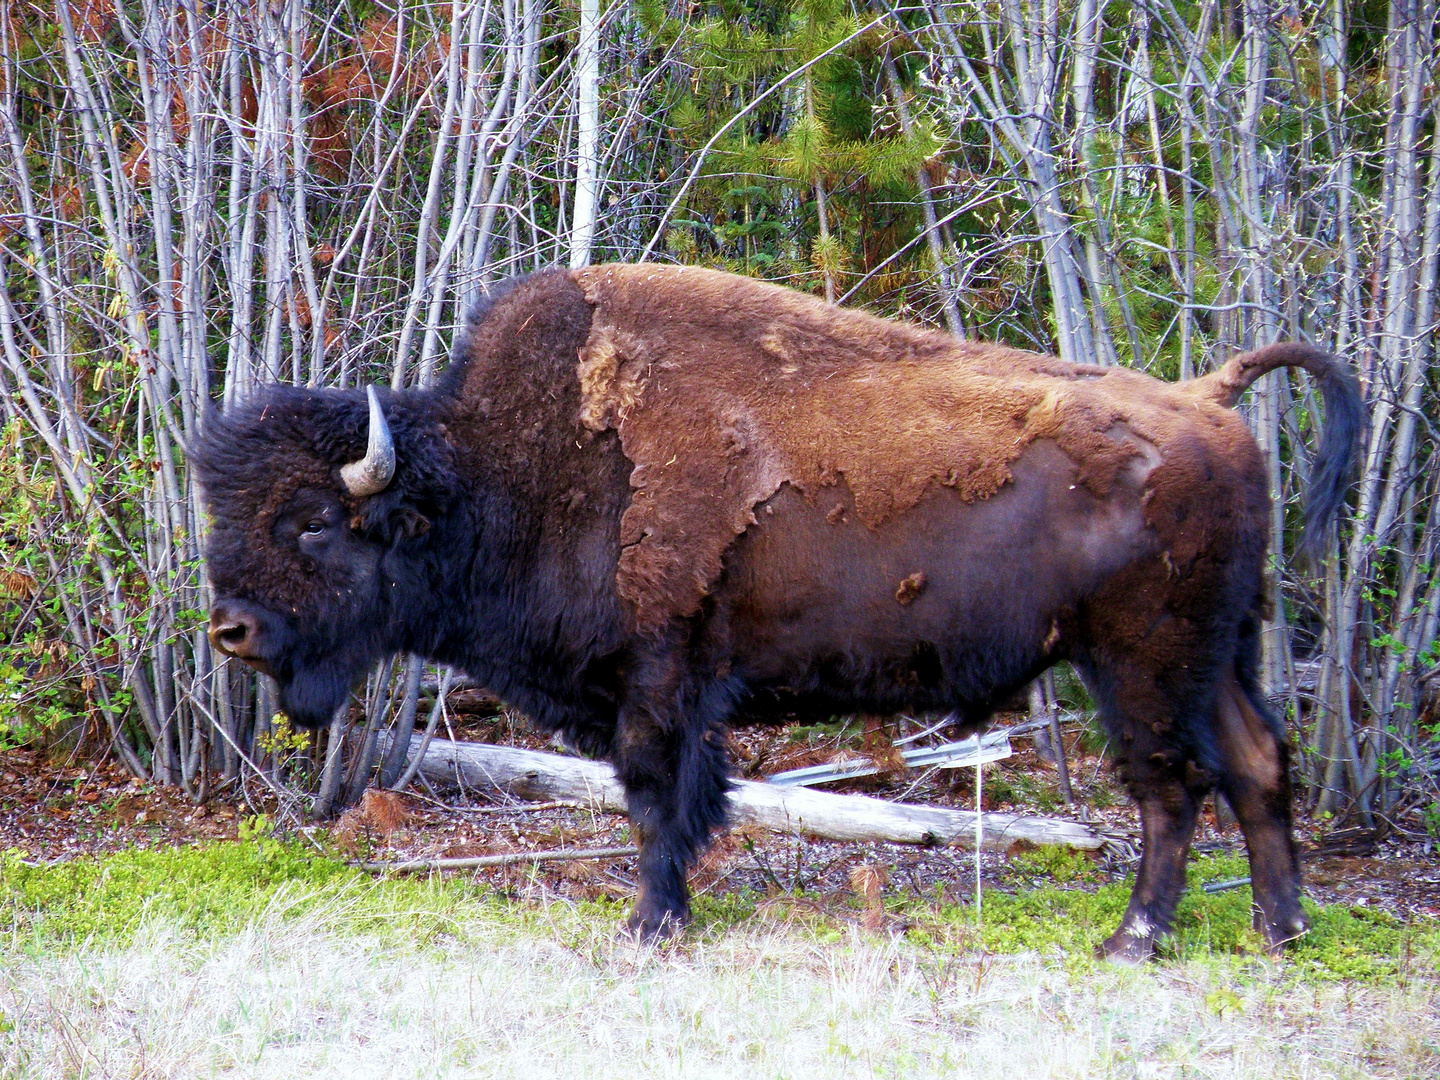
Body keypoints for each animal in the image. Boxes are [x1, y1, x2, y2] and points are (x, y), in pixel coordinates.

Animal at [195, 264, 1362, 957]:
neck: (505, 473)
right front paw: (665, 915)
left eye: (312, 524)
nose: (231, 632)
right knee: (1256, 764)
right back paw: (1281, 928)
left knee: (1173, 786)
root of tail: (1208, 400)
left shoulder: (659, 682)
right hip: (1220, 653)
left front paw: (650, 924)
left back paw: (1134, 939)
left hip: (1139, 662)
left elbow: (654, 797)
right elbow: (673, 800)